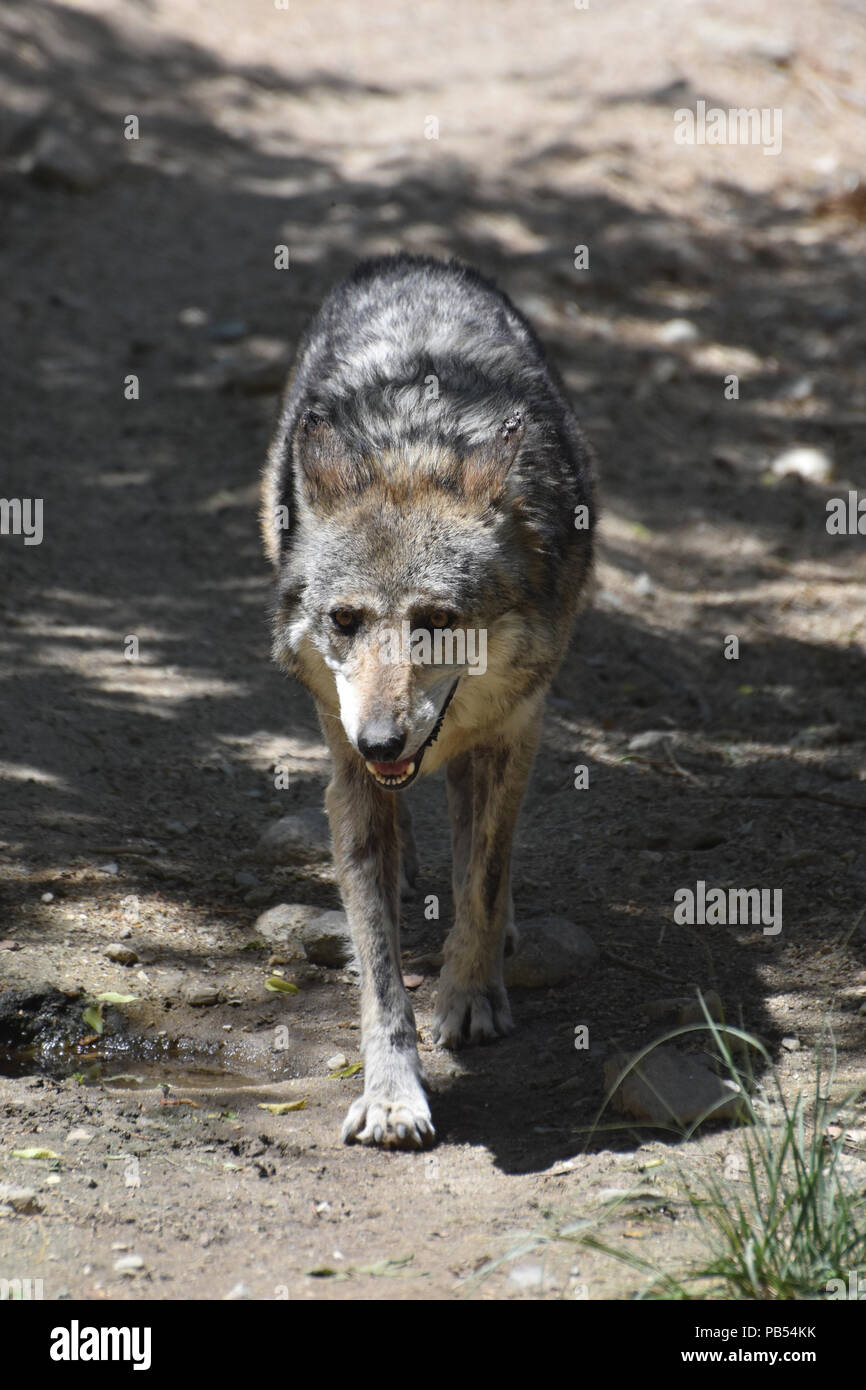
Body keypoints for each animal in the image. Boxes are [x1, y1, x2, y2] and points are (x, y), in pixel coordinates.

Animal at [261, 254, 595, 1149]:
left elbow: (481, 875)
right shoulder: (347, 770)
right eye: (345, 621)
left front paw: (469, 995)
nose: (380, 740)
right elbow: (377, 963)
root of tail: (416, 262)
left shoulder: (513, 731)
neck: (415, 448)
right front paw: (391, 1093)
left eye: (437, 622)